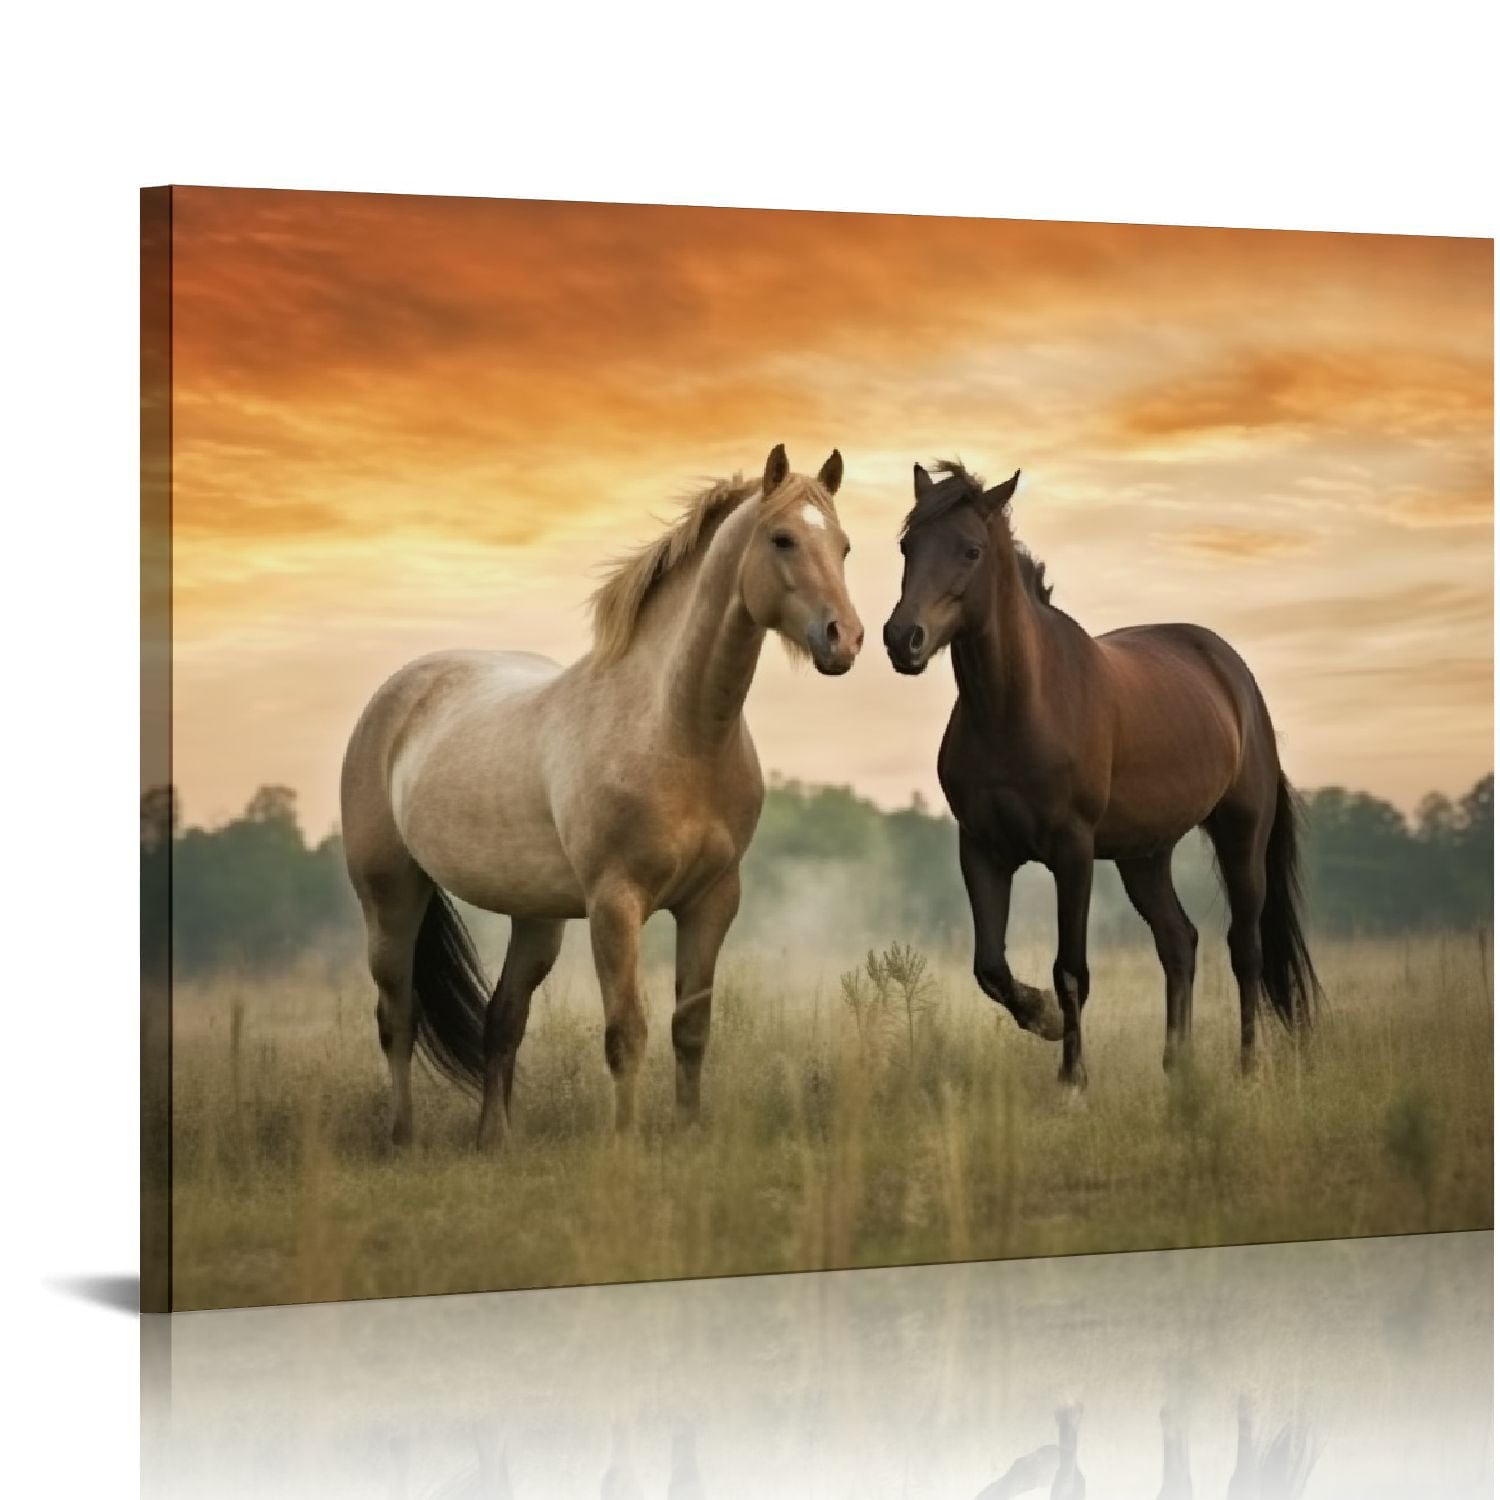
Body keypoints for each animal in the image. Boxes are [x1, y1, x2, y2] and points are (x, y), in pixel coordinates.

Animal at [341, 445, 863, 1149]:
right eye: (782, 538)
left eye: (843, 546)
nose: (845, 639)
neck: (676, 728)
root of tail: (397, 694)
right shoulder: (617, 903)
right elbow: (627, 1032)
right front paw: (625, 1142)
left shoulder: (712, 900)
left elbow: (690, 1029)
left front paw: (689, 1132)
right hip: (391, 894)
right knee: (397, 1016)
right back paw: (403, 1139)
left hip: (536, 917)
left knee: (502, 1019)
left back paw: (494, 1139)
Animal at [882, 460, 1318, 1086]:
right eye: (907, 546)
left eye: (970, 550)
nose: (902, 639)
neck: (1020, 706)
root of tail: (1232, 674)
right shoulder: (982, 850)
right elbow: (990, 967)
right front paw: (1042, 1018)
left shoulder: (1074, 851)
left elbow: (1071, 971)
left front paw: (1072, 1080)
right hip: (1145, 856)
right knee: (1179, 942)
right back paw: (1176, 1067)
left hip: (1241, 836)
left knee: (1246, 950)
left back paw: (1247, 1069)